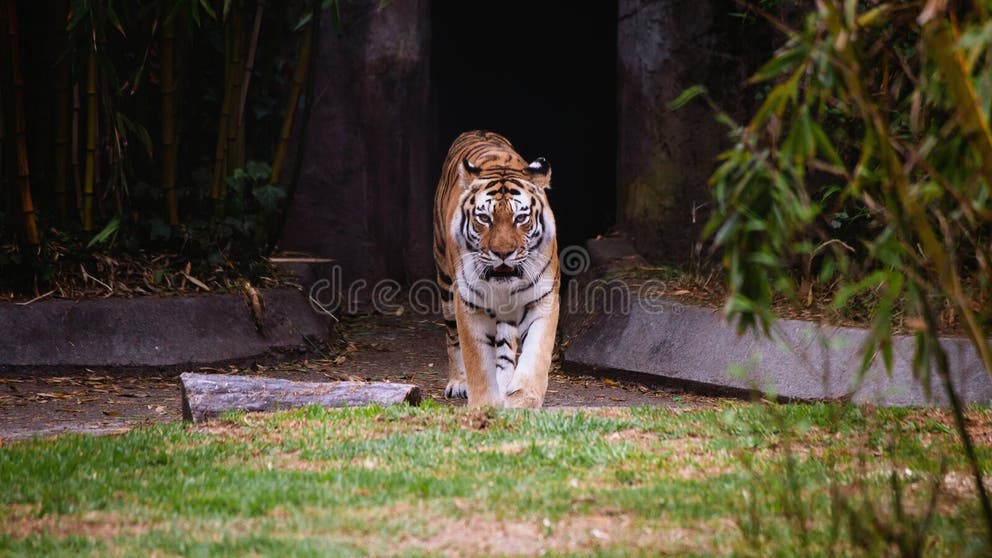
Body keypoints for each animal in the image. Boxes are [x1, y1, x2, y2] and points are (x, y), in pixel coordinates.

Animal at [433, 130, 560, 409]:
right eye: (484, 218)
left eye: (520, 218)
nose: (503, 253)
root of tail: (476, 131)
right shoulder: (468, 305)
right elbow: (477, 361)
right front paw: (484, 404)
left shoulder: (543, 300)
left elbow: (536, 353)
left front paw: (522, 399)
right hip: (445, 282)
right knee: (452, 337)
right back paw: (458, 382)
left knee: (504, 349)